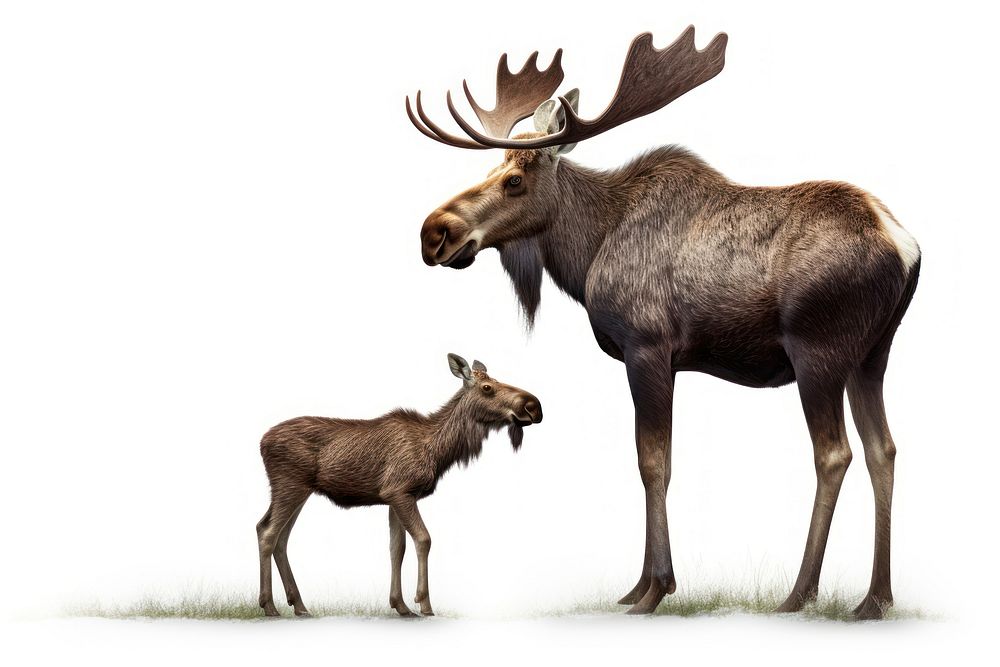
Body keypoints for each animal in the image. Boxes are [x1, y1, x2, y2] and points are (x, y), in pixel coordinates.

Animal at [255, 354, 542, 617]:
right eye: (487, 388)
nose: (534, 407)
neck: (437, 451)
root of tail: (261, 441)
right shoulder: (399, 491)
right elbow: (424, 539)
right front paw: (423, 603)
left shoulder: (395, 497)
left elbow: (397, 549)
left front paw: (400, 605)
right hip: (290, 484)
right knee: (268, 533)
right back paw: (269, 606)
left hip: (299, 490)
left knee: (277, 535)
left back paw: (299, 605)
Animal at [406, 27, 920, 619]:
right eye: (487, 170)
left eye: (514, 179)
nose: (433, 233)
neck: (589, 250)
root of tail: (903, 245)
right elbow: (660, 461)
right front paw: (639, 587)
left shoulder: (647, 349)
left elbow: (652, 463)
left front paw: (654, 590)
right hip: (873, 355)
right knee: (884, 450)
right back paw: (875, 598)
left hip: (819, 353)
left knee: (835, 453)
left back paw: (799, 594)